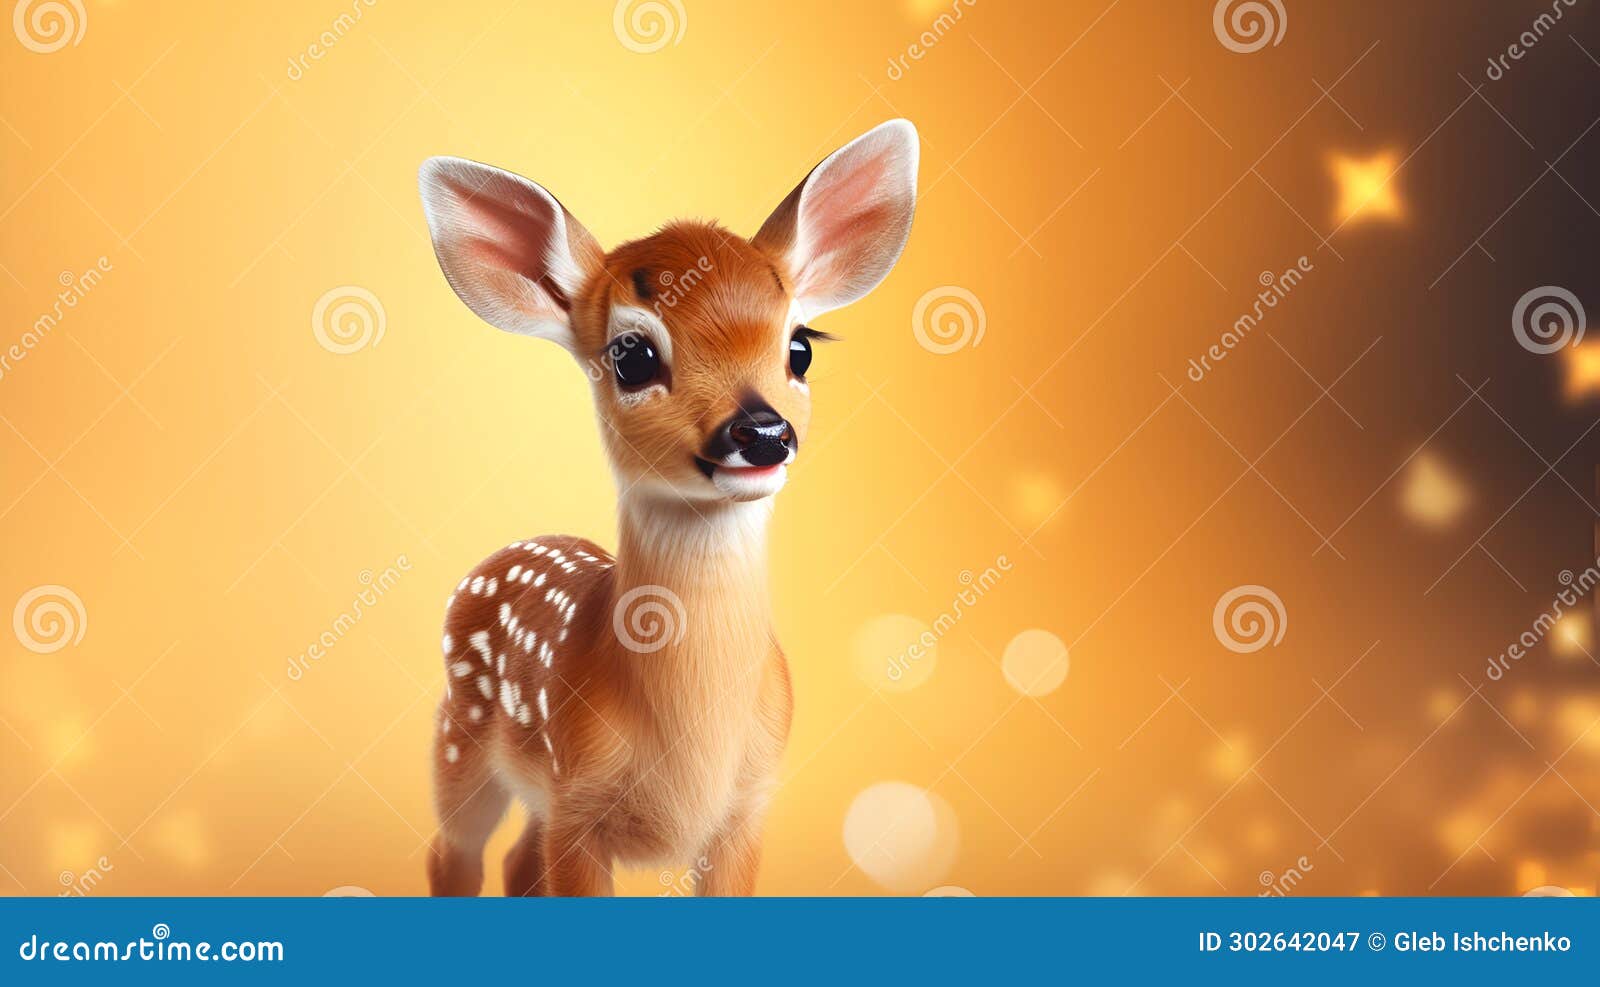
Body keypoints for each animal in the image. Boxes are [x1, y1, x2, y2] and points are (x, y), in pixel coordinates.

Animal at [417, 120, 919, 896]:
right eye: (632, 355)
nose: (762, 431)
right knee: (454, 852)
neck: (695, 751)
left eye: (801, 346)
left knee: (517, 859)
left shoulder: (748, 808)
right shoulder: (578, 800)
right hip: (461, 732)